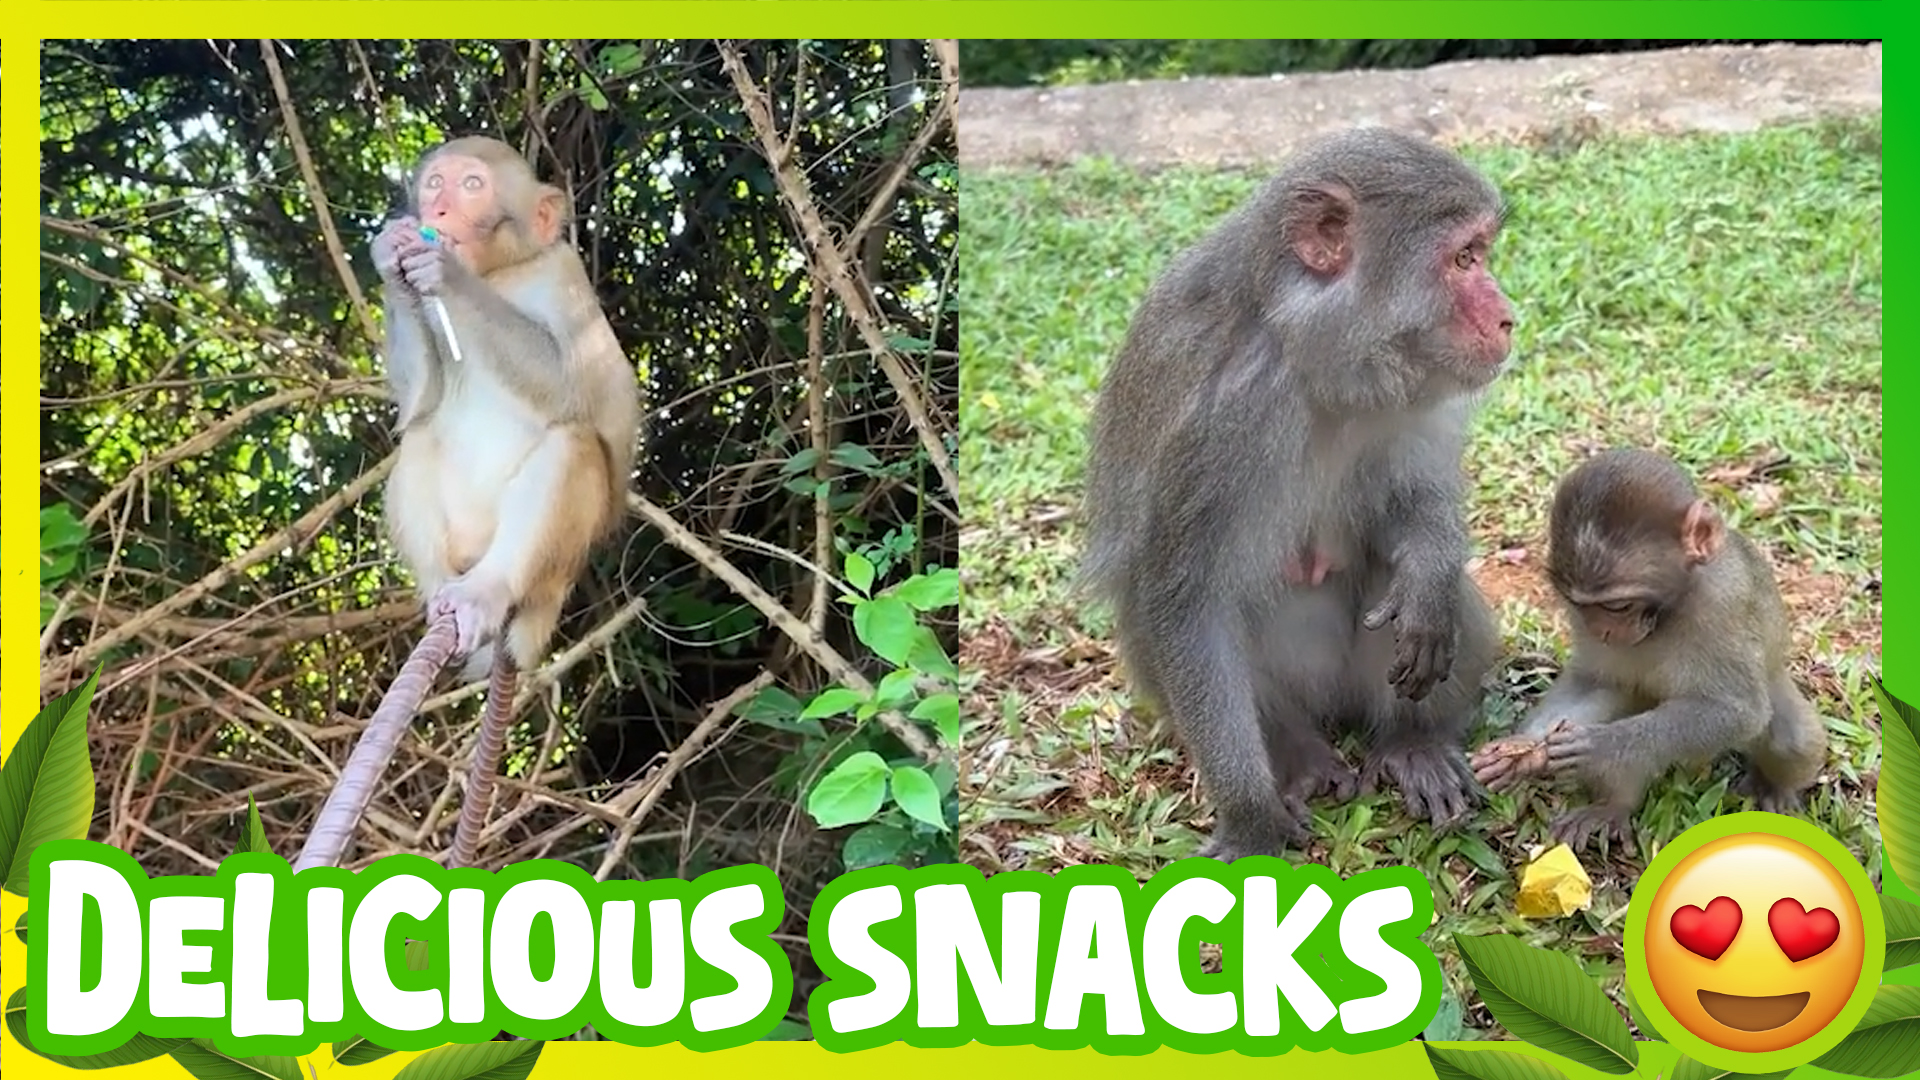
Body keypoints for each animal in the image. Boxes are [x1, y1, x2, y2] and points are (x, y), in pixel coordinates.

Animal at [1080, 127, 1516, 863]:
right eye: (1463, 258)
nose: (1509, 318)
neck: (1308, 354)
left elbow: (1414, 503)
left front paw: (1429, 575)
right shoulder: (1220, 417)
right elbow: (1184, 602)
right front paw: (1250, 816)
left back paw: (1412, 741)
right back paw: (1293, 754)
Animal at [1470, 448, 1827, 851]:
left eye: (1618, 606)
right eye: (1580, 605)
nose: (1603, 631)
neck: (1670, 610)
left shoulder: (1722, 603)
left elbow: (1739, 711)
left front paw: (1604, 747)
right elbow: (1597, 680)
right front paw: (1523, 752)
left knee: (1791, 739)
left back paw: (1777, 788)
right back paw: (1615, 805)